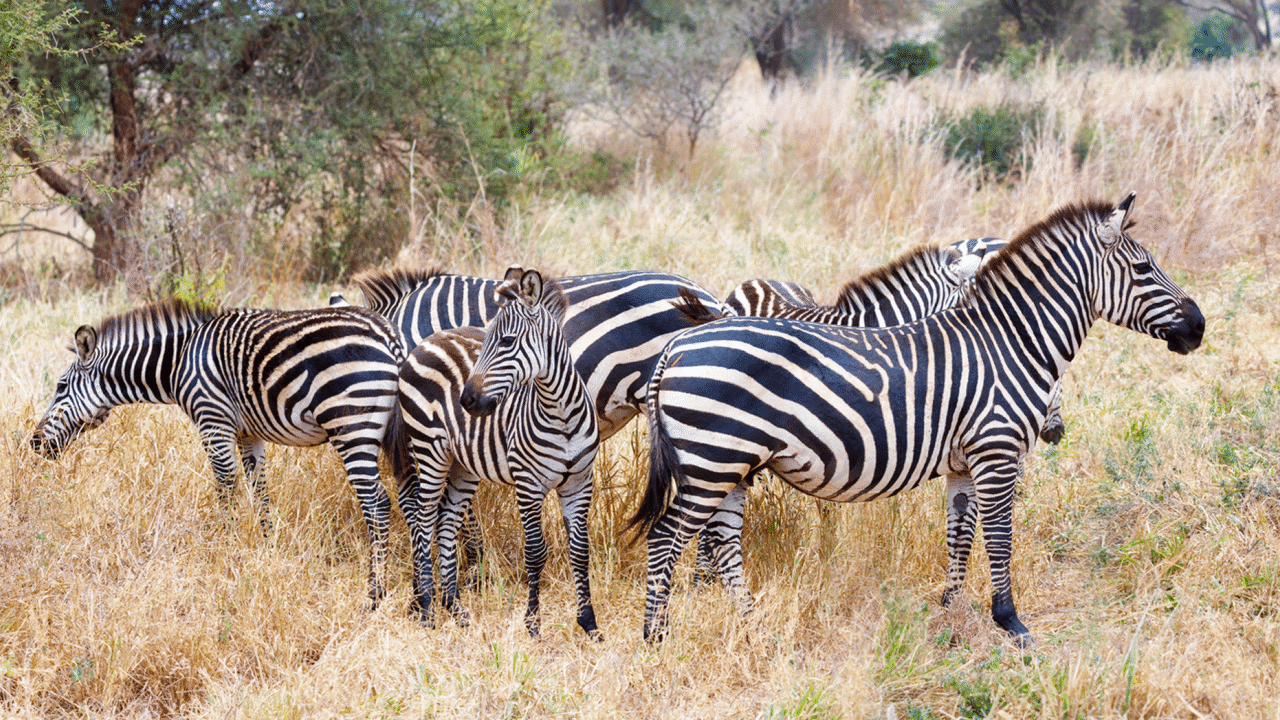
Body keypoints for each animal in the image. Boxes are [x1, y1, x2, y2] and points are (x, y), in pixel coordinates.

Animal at [31, 300, 407, 603]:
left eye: (60, 387)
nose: (34, 443)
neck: (178, 361)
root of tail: (387, 334)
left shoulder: (213, 420)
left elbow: (226, 489)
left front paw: (224, 553)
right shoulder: (248, 433)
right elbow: (260, 493)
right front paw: (268, 550)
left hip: (351, 425)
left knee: (377, 504)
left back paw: (375, 592)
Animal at [393, 267, 601, 639]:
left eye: (506, 341)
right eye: (487, 338)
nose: (467, 401)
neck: (561, 413)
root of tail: (430, 339)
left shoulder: (579, 482)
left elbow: (580, 552)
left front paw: (589, 624)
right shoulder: (529, 484)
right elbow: (535, 552)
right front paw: (532, 624)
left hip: (463, 464)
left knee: (447, 519)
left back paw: (454, 609)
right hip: (429, 449)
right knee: (424, 519)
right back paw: (426, 608)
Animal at [630, 194, 1204, 644]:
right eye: (1143, 270)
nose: (1199, 327)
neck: (1011, 342)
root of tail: (678, 345)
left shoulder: (963, 463)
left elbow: (960, 534)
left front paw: (949, 609)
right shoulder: (998, 451)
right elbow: (1000, 534)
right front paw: (1010, 622)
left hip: (731, 464)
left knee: (722, 542)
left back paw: (754, 628)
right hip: (711, 461)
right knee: (667, 538)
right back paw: (657, 637)